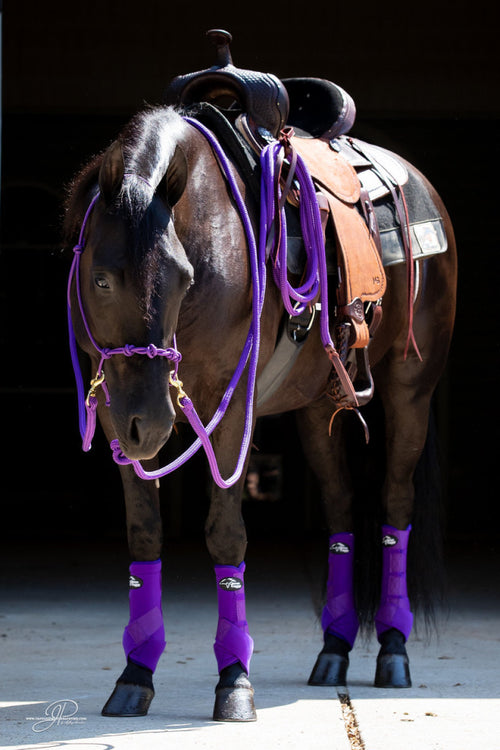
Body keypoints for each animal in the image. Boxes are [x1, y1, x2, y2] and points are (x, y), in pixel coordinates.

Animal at [63, 98, 457, 722]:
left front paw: (234, 681)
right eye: (100, 278)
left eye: (184, 277)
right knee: (341, 509)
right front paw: (135, 674)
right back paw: (334, 649)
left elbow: (226, 534)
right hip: (318, 408)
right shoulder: (113, 417)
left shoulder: (229, 409)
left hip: (409, 390)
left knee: (396, 503)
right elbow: (144, 534)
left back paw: (394, 649)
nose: (151, 423)